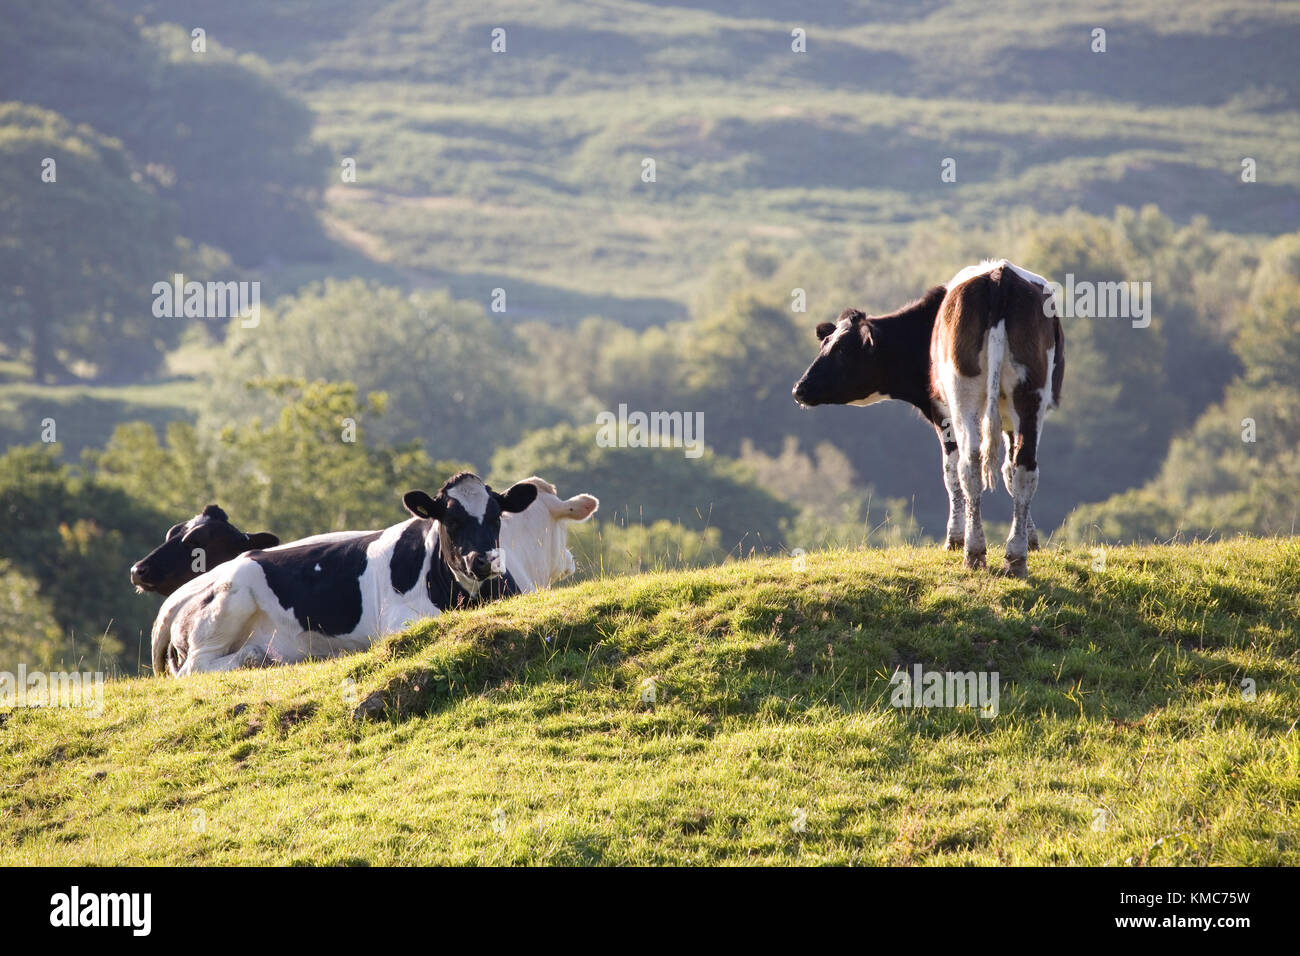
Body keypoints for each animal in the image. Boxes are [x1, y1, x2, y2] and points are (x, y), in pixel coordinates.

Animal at [150, 473, 538, 676]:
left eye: (496, 517)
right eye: (451, 520)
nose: (483, 560)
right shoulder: (398, 621)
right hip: (229, 603)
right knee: (195, 668)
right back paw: (256, 655)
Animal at [792, 259, 1064, 577]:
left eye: (844, 350)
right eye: (825, 344)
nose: (799, 388)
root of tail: (999, 275)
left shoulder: (940, 410)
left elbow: (950, 472)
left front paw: (955, 539)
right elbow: (1009, 472)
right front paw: (1030, 539)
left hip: (963, 396)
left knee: (968, 466)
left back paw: (973, 551)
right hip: (1029, 397)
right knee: (1024, 467)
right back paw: (1016, 557)